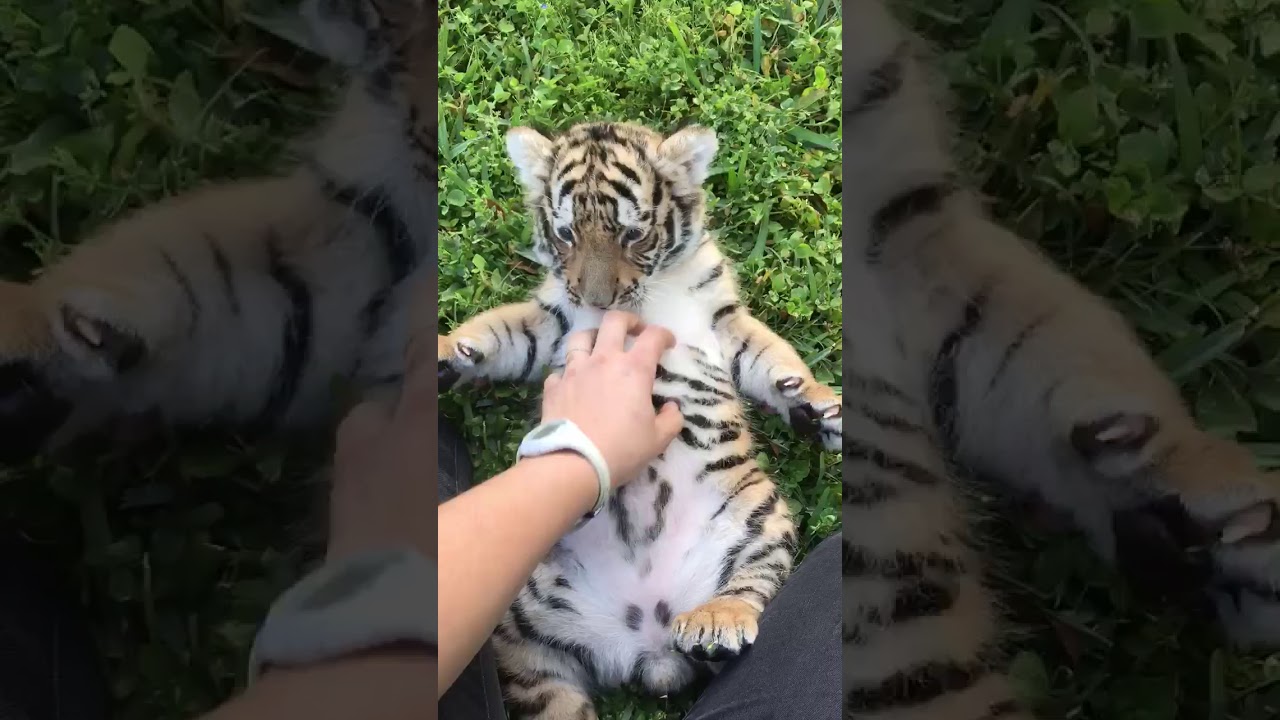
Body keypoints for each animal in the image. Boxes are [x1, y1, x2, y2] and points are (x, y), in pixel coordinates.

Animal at [436, 120, 843, 719]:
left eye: (632, 235)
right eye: (566, 234)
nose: (597, 300)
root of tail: (648, 641)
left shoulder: (724, 320)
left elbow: (774, 357)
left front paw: (816, 405)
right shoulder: (551, 322)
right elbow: (500, 331)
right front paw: (446, 352)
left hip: (760, 517)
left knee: (749, 587)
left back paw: (714, 623)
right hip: (522, 628)